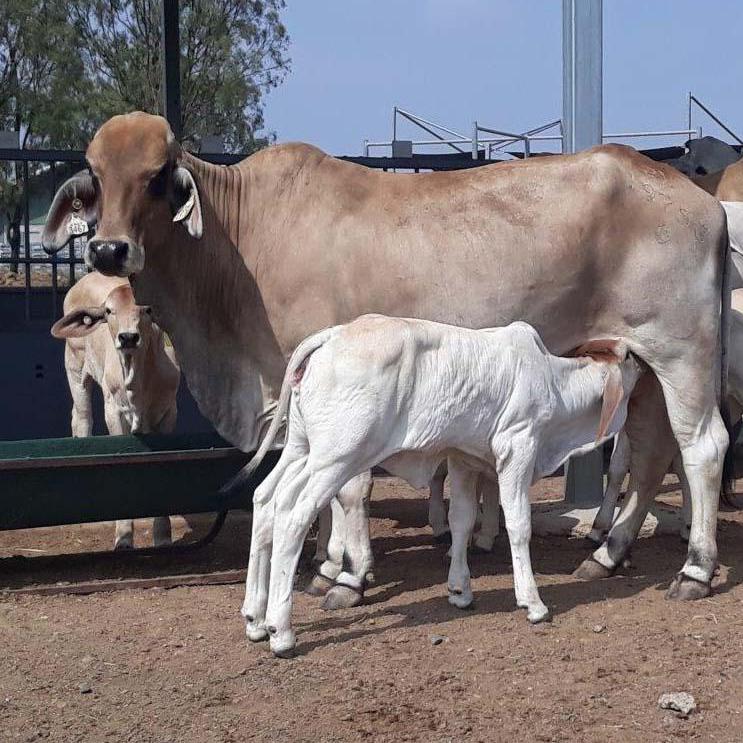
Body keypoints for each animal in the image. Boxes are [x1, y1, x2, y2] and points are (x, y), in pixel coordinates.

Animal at [51, 271, 180, 549]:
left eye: (147, 309)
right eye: (109, 311)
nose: (128, 337)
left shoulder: (168, 413)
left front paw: (163, 535)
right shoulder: (114, 412)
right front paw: (123, 537)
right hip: (75, 368)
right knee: (82, 419)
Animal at [232, 317, 644, 656]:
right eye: (629, 359)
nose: (645, 363)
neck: (555, 384)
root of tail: (331, 336)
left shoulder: (463, 459)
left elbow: (461, 520)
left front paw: (460, 590)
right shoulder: (517, 448)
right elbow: (518, 526)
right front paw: (533, 602)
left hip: (301, 449)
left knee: (265, 499)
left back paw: (254, 619)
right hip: (336, 457)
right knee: (292, 515)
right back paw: (280, 631)